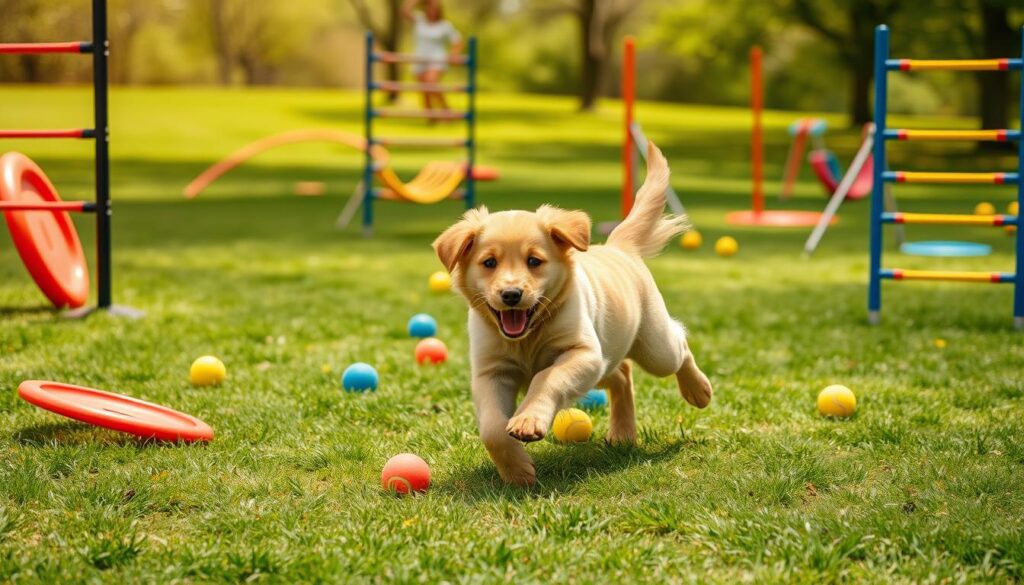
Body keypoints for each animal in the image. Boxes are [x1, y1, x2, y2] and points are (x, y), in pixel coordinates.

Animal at [432, 143, 712, 485]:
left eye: (534, 261)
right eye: (489, 263)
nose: (511, 295)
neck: (528, 336)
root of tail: (619, 247)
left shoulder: (583, 352)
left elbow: (546, 378)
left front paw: (528, 419)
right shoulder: (492, 370)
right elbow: (492, 429)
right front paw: (518, 473)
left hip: (651, 347)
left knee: (678, 346)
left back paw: (698, 390)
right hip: (605, 360)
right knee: (623, 373)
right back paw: (622, 433)